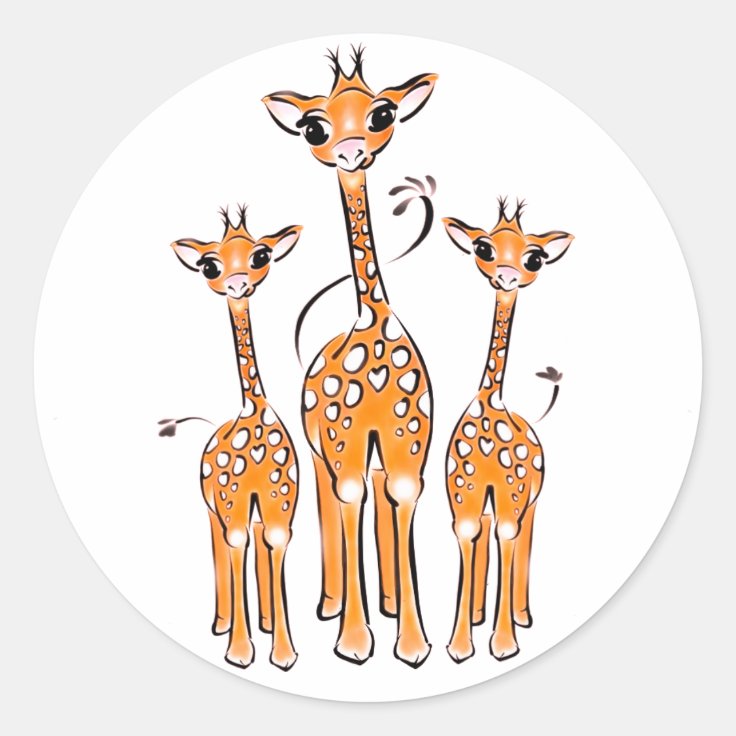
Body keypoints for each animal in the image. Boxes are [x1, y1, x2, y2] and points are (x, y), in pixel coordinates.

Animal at [170, 205, 302, 671]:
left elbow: (274, 546)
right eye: (210, 265)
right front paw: (241, 652)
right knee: (221, 549)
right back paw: (222, 624)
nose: (238, 284)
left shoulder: (281, 504)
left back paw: (264, 621)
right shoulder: (230, 506)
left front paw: (282, 651)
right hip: (213, 509)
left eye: (261, 256)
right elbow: (236, 548)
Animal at [262, 47, 437, 667]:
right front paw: (355, 643)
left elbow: (401, 500)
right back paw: (331, 605)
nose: (351, 151)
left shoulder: (409, 444)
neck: (374, 329)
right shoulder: (341, 447)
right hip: (318, 452)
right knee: (328, 503)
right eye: (313, 127)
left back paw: (386, 602)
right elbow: (349, 501)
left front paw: (411, 640)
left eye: (383, 114)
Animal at [442, 199, 574, 662]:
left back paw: (521, 616)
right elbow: (469, 538)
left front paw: (503, 644)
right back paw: (480, 614)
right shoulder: (462, 495)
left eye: (535, 258)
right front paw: (461, 643)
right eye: (483, 248)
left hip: (530, 501)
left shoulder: (514, 498)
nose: (507, 277)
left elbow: (507, 539)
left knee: (523, 541)